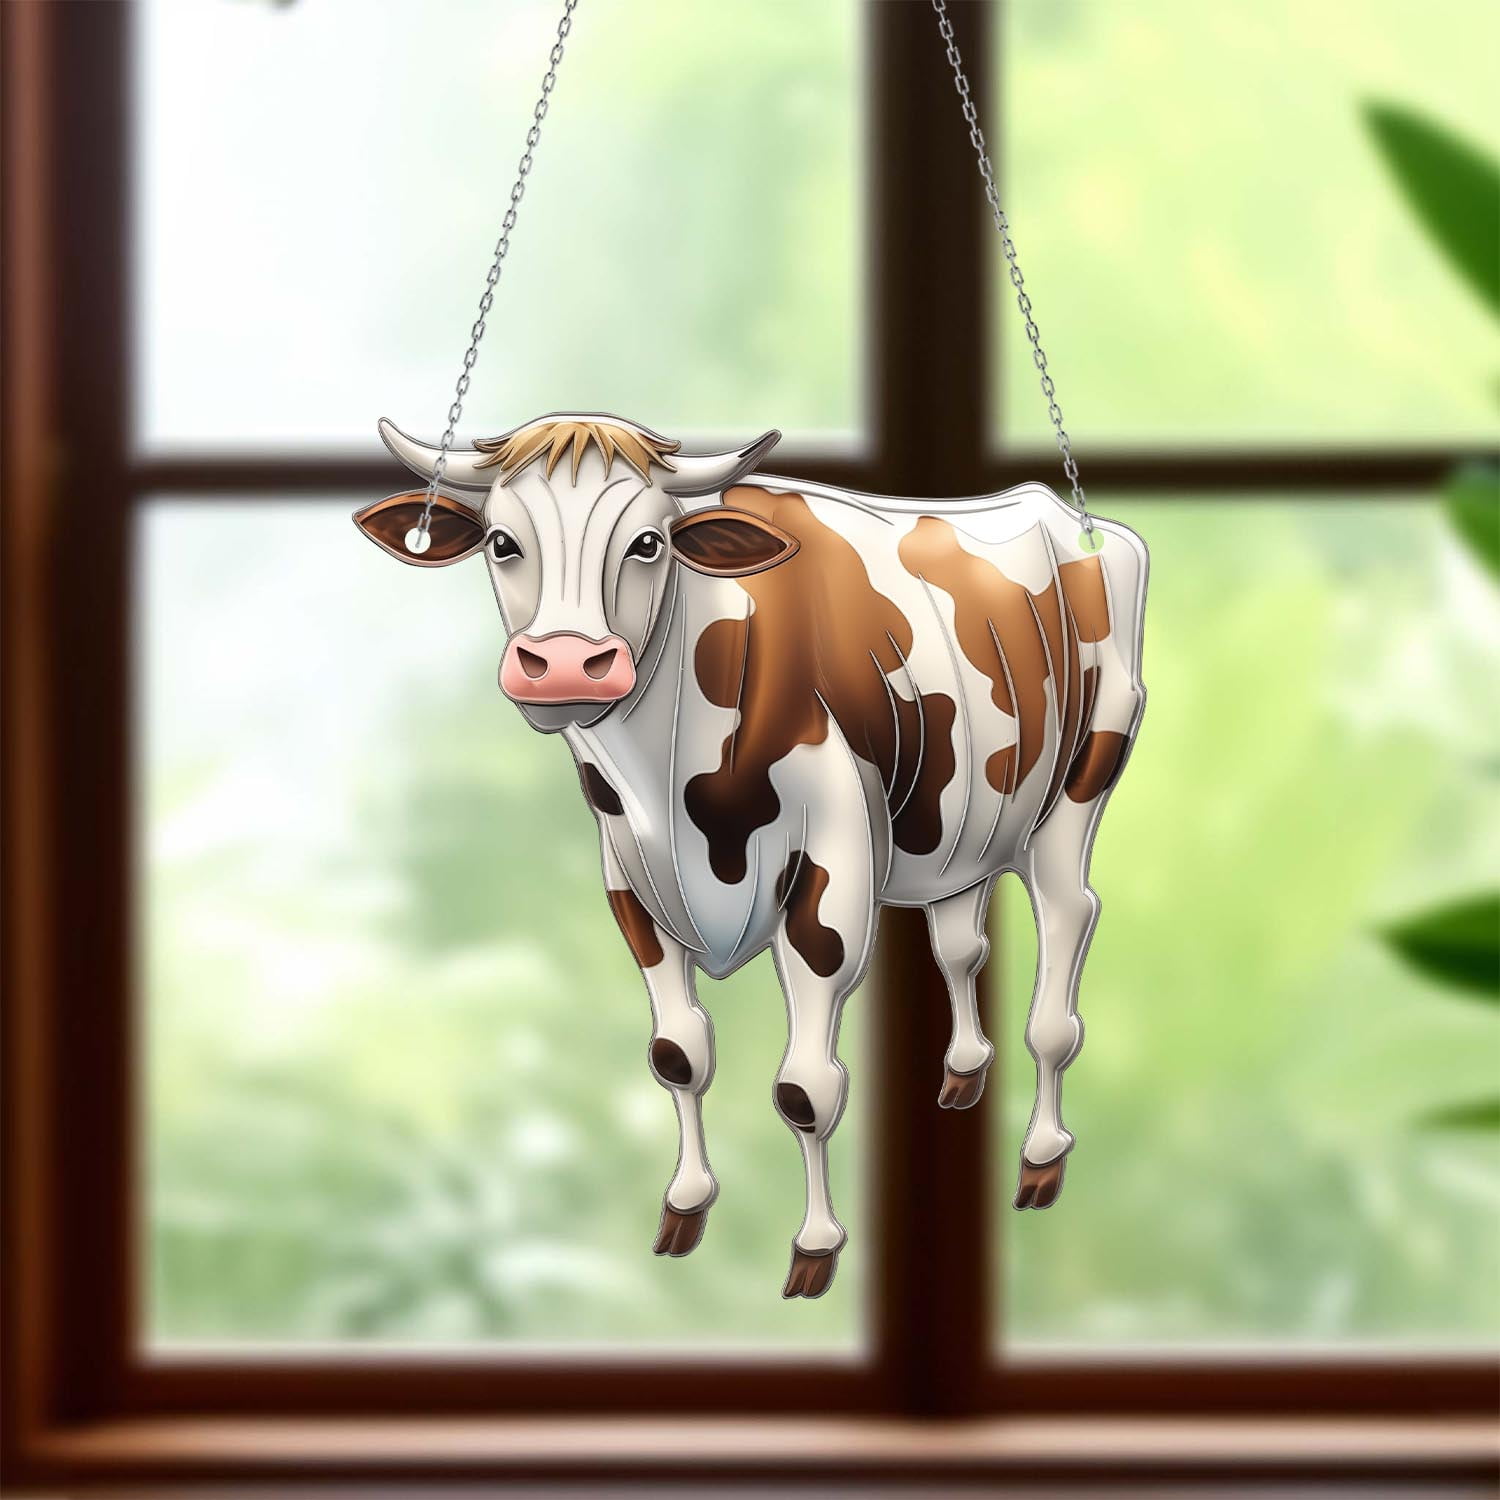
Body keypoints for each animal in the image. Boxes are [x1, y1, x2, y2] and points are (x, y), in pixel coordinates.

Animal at [355, 413, 1147, 1299]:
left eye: (649, 543)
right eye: (501, 541)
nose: (562, 666)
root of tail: (1073, 517)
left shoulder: (832, 890)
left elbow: (806, 1090)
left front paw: (816, 1248)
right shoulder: (630, 882)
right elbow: (678, 1055)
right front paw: (685, 1205)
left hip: (1077, 791)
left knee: (1063, 948)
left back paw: (1041, 1156)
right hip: (963, 816)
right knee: (960, 940)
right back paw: (964, 1071)